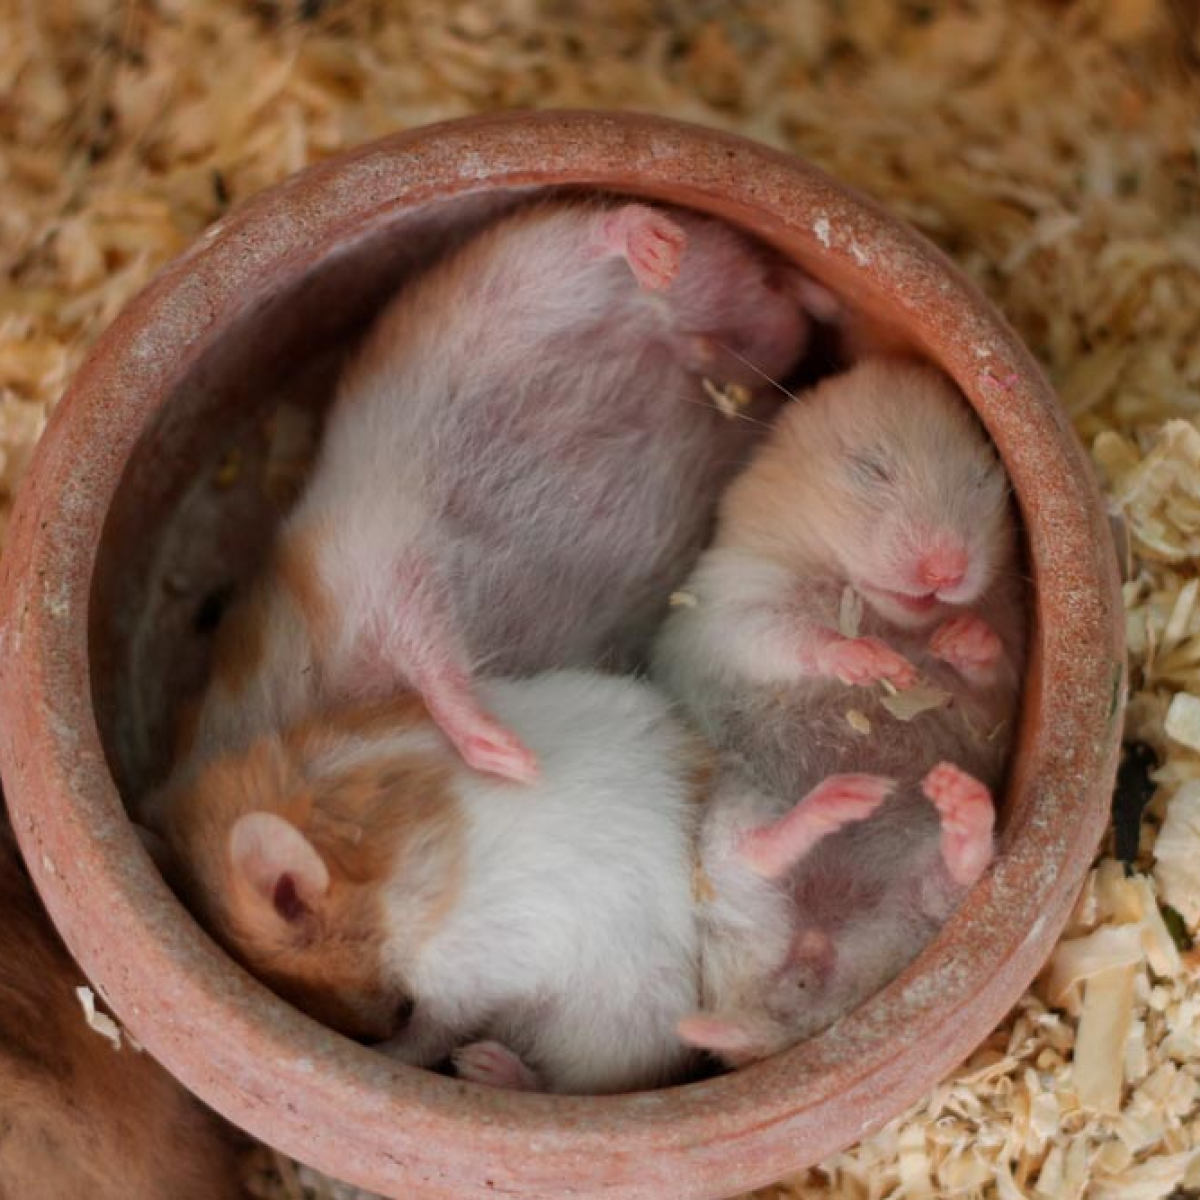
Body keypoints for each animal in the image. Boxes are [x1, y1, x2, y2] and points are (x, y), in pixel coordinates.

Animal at [154, 198, 814, 812]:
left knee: (614, 242)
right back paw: (705, 341)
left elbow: (441, 673)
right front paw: (514, 757)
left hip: (536, 266)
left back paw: (652, 249)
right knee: (779, 333)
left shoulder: (382, 572)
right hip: (709, 315)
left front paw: (513, 760)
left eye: (212, 612)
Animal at [158, 670, 706, 1095]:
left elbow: (426, 1036)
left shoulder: (463, 979)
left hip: (617, 1028)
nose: (366, 1029)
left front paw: (391, 1053)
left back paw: (484, 1066)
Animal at [652, 356, 1027, 1064]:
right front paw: (871, 662)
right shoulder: (736, 602)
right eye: (869, 468)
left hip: (908, 914)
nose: (947, 569)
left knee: (947, 880)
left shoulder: (996, 696)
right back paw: (843, 799)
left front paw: (959, 641)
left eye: (983, 477)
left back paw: (957, 805)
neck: (888, 614)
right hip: (730, 817)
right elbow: (795, 636)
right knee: (756, 853)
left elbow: (985, 674)